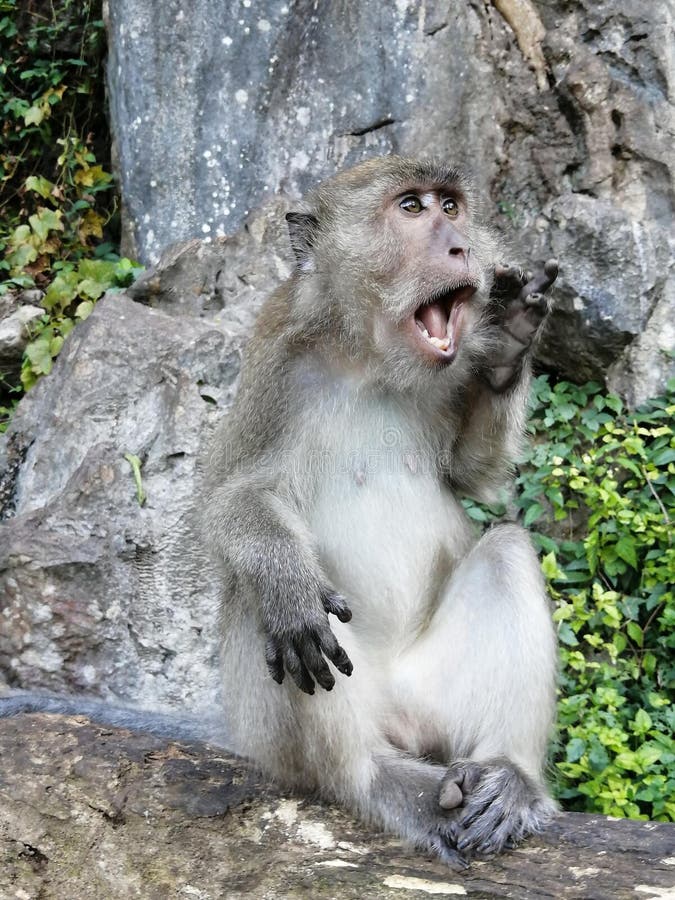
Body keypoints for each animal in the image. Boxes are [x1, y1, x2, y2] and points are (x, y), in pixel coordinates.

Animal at [0, 156, 559, 867]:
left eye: (452, 207)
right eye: (412, 207)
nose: (460, 246)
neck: (367, 359)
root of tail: (401, 721)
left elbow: (475, 476)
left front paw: (511, 337)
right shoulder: (276, 366)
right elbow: (229, 500)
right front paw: (289, 585)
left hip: (435, 697)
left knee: (508, 550)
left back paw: (507, 777)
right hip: (277, 728)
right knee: (265, 606)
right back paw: (376, 777)